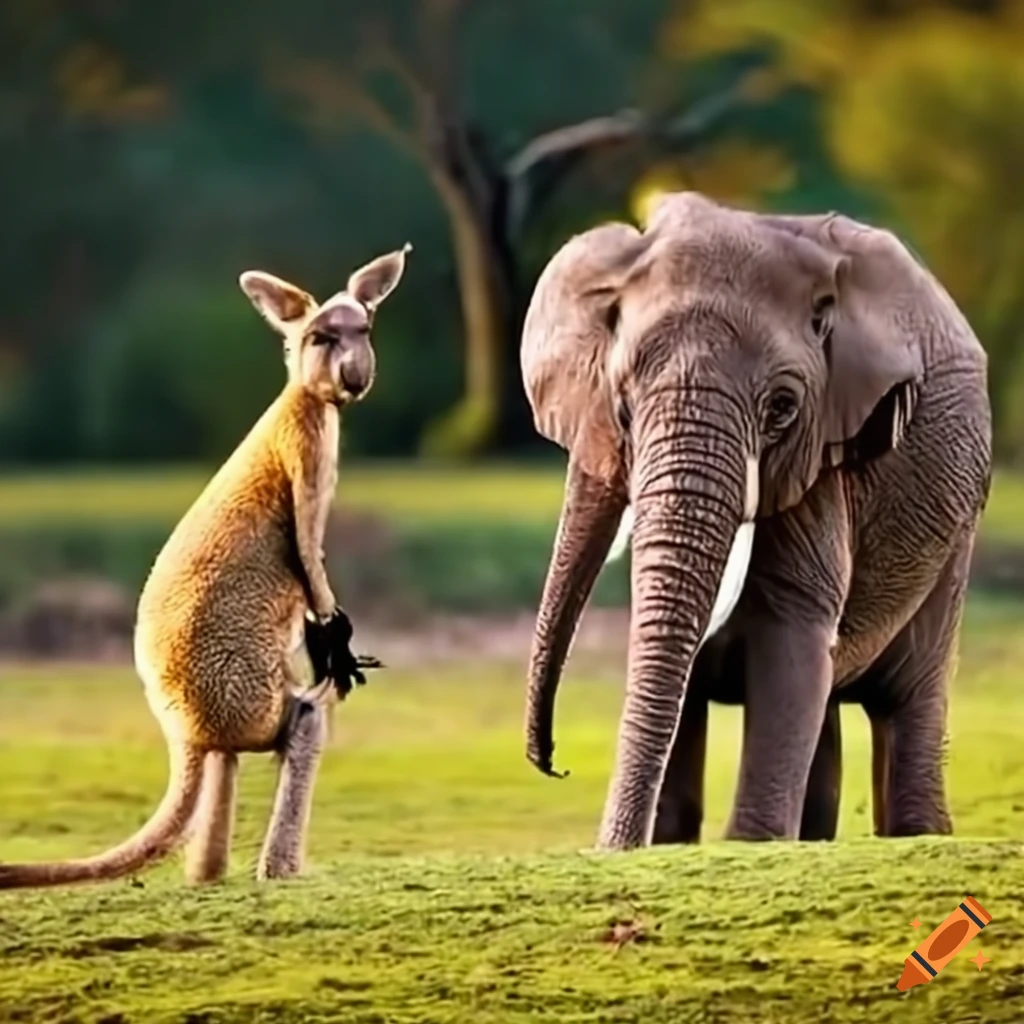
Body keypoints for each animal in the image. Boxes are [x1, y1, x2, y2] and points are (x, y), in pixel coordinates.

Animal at [520, 192, 991, 850]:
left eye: (782, 409)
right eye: (623, 409)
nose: (551, 763)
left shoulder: (820, 459)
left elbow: (789, 635)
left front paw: (749, 843)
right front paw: (666, 844)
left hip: (956, 530)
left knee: (907, 697)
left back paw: (916, 833)